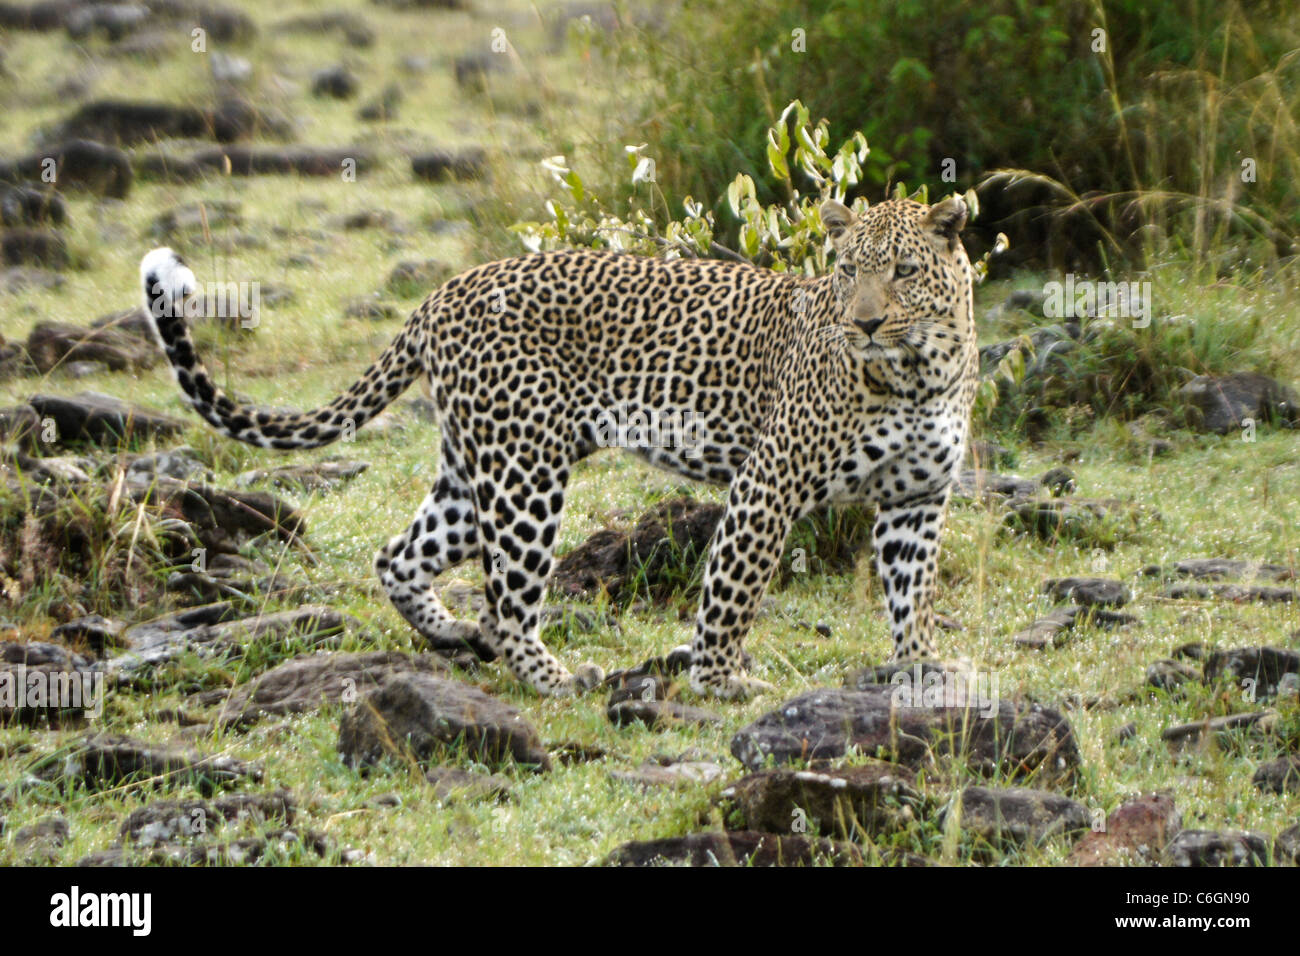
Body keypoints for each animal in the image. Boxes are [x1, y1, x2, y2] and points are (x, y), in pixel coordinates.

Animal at [138, 195, 977, 699]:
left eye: (904, 270)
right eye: (847, 271)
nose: (864, 323)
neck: (921, 373)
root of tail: (441, 293)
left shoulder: (916, 500)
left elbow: (913, 593)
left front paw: (921, 668)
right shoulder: (768, 484)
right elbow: (732, 593)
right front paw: (718, 682)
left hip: (478, 467)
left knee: (398, 555)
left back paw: (452, 635)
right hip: (525, 474)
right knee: (508, 601)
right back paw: (556, 678)